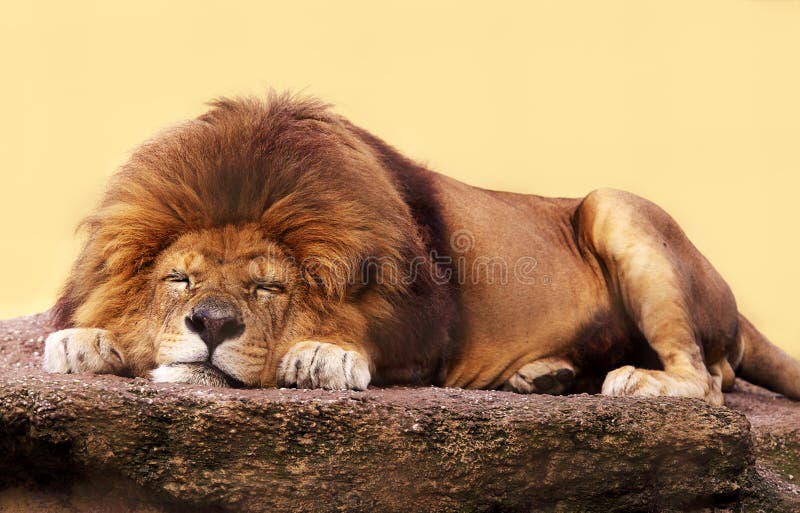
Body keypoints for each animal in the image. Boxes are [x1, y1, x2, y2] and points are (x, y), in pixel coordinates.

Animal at [42, 92, 800, 406]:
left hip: (615, 204)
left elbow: (366, 341)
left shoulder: (428, 328)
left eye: (268, 287)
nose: (211, 325)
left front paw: (322, 355)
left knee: (709, 381)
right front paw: (82, 342)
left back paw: (639, 382)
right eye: (179, 280)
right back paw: (545, 377)